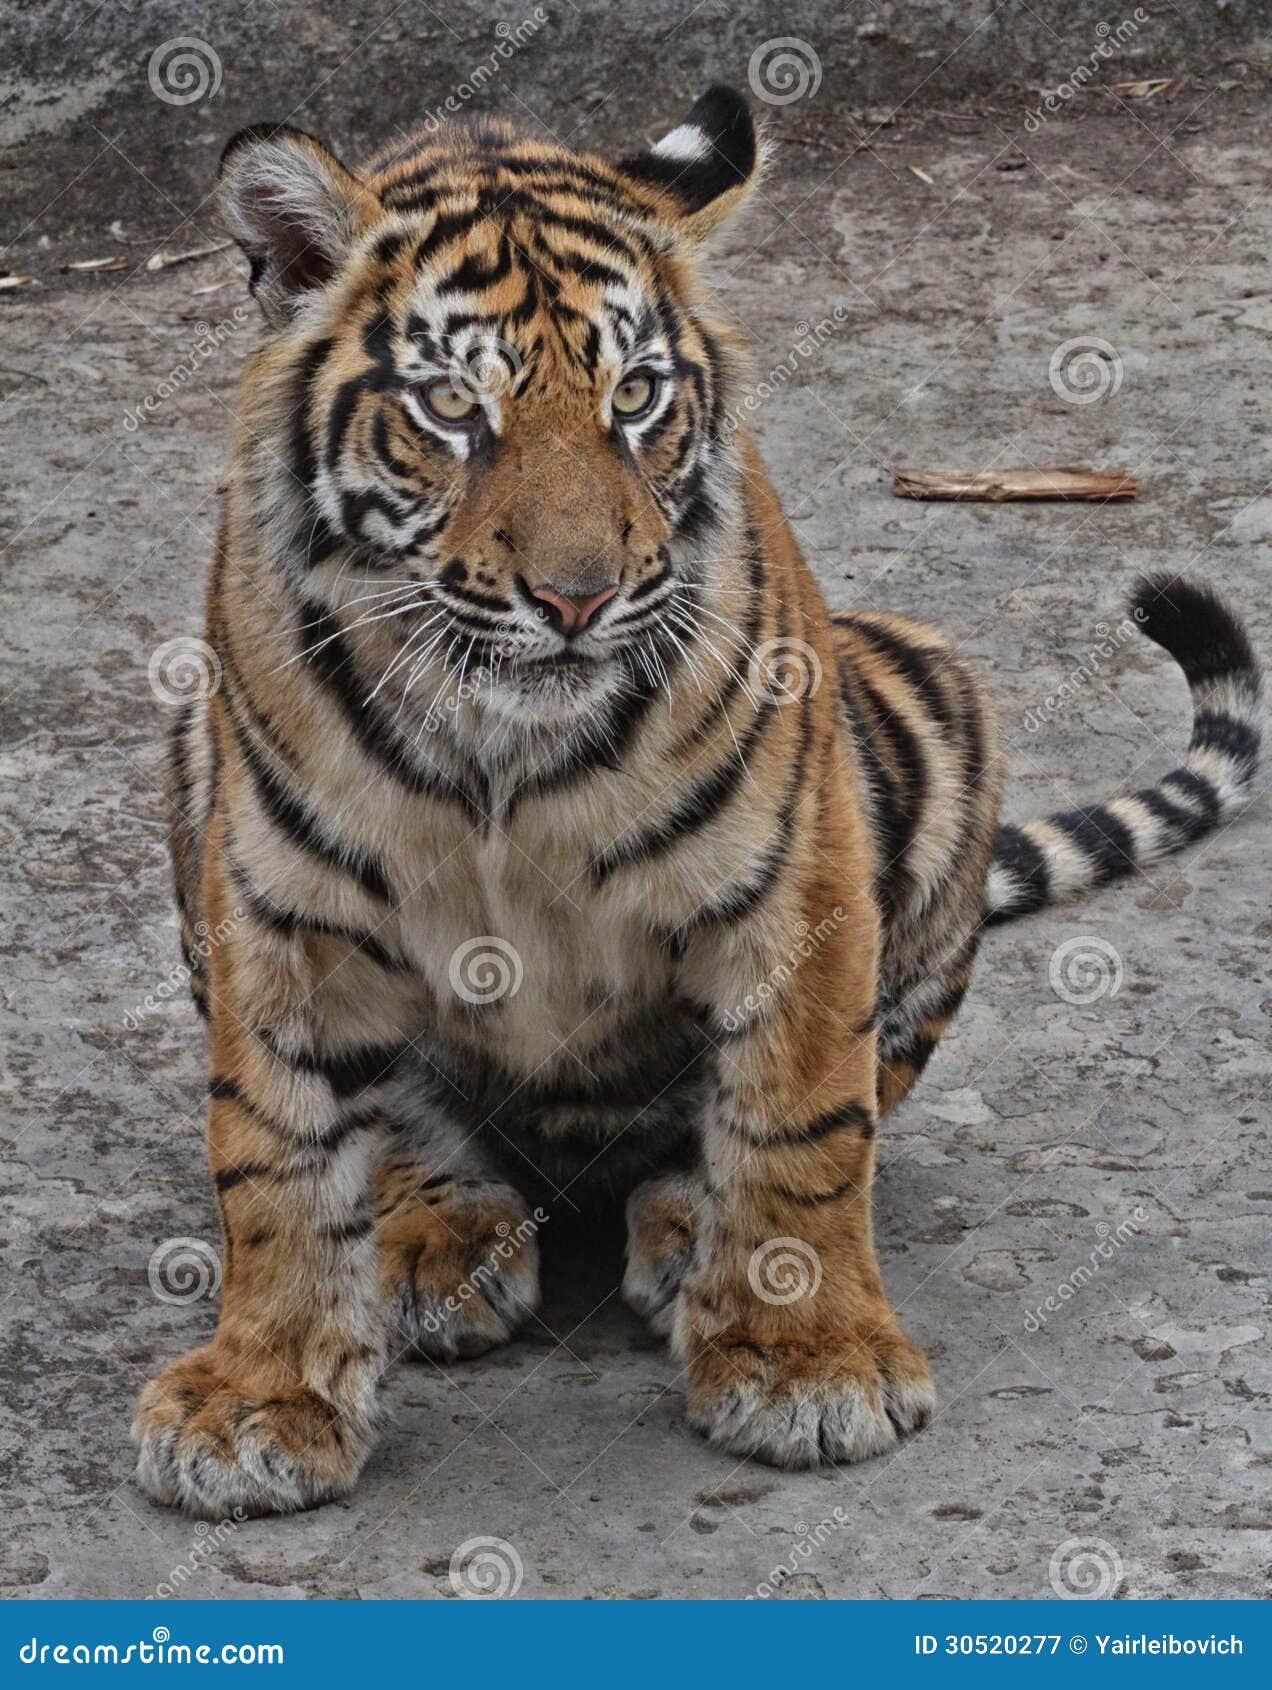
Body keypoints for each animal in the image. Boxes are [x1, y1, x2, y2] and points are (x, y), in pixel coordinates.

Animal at [133, 86, 1263, 1516]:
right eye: (451, 406)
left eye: (635, 395)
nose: (576, 597)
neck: (501, 745)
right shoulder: (274, 907)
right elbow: (274, 1158)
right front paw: (258, 1395)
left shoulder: (800, 878)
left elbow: (802, 1121)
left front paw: (806, 1356)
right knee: (405, 1129)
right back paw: (437, 1233)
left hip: (936, 706)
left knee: (782, 1109)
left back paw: (684, 1233)